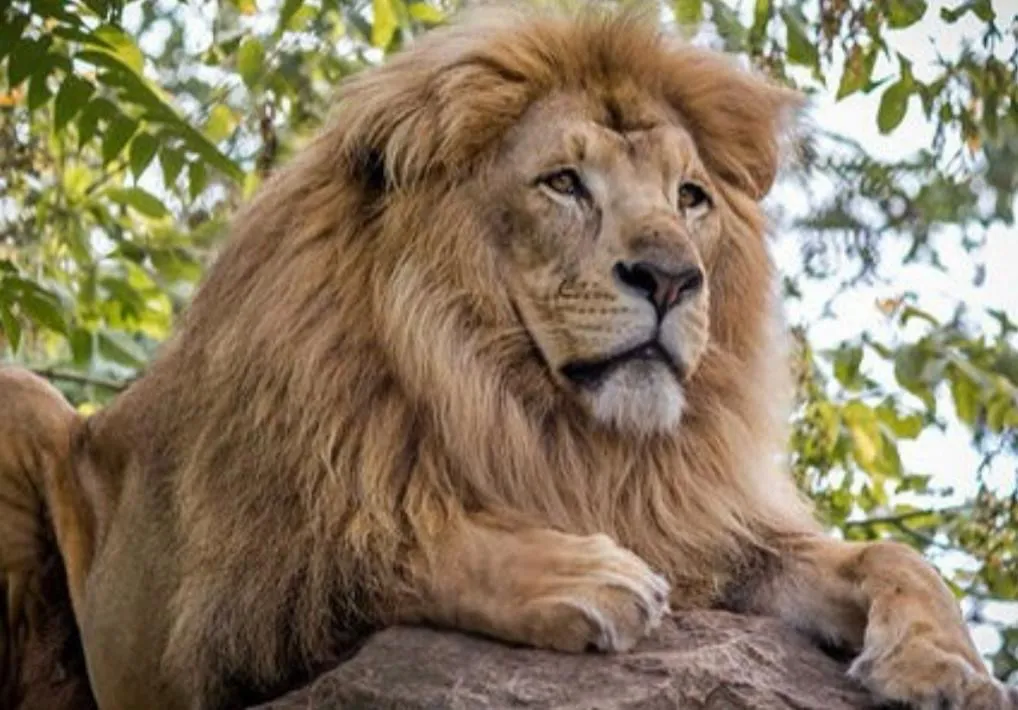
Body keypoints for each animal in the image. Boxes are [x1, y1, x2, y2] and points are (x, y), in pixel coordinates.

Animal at [2, 4, 1014, 710]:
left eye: (689, 197)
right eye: (563, 183)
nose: (672, 279)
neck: (531, 413)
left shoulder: (697, 528)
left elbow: (894, 556)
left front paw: (946, 665)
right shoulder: (226, 621)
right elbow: (396, 541)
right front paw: (585, 576)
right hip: (26, 404)